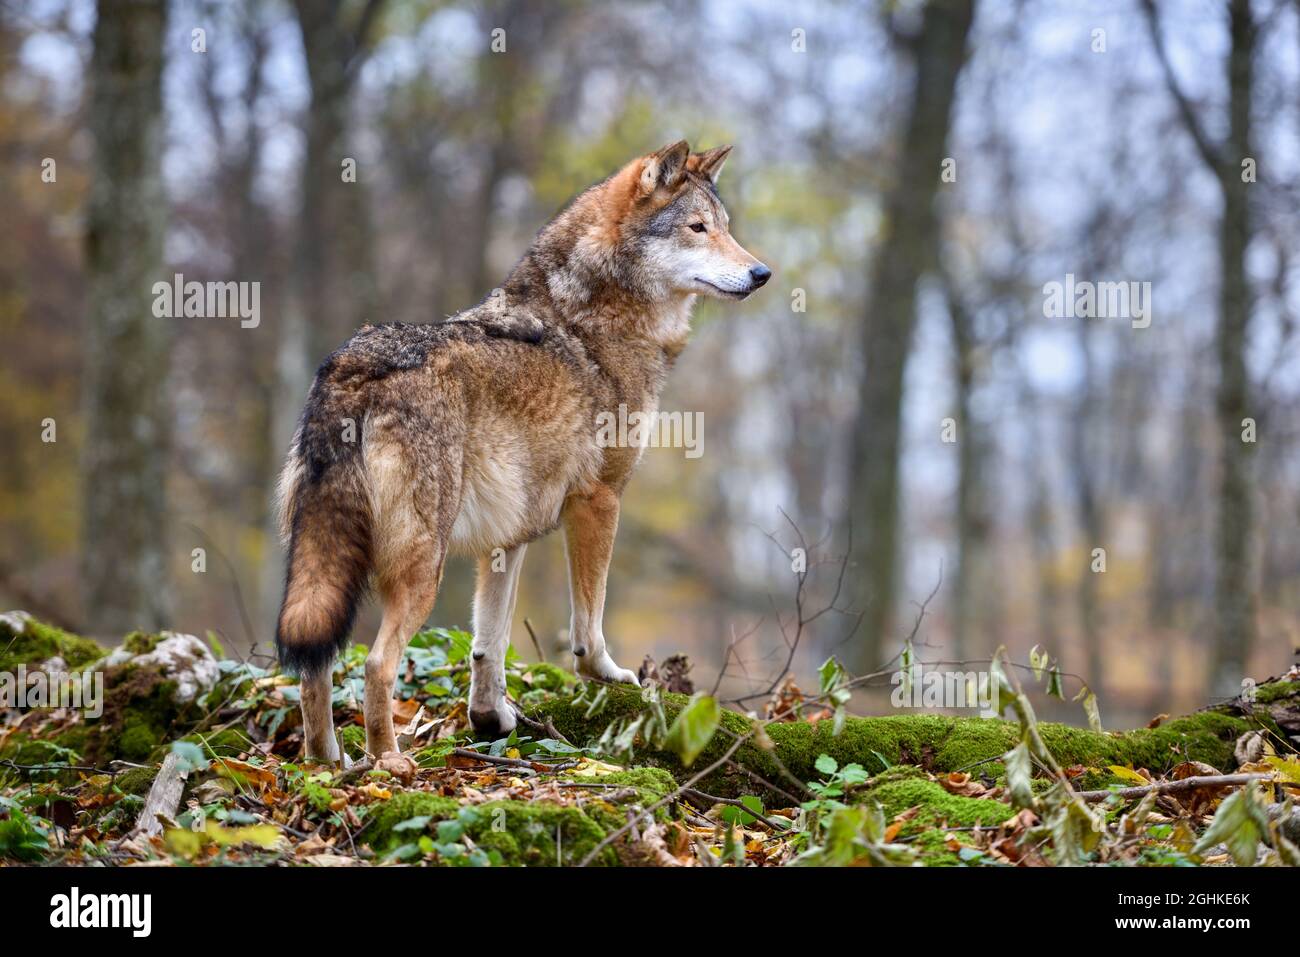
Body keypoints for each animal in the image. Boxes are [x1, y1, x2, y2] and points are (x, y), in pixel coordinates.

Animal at [274, 141, 771, 761]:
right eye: (697, 228)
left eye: (726, 227)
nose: (762, 272)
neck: (593, 314)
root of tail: (351, 367)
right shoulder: (599, 501)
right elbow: (589, 623)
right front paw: (611, 675)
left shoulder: (507, 537)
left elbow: (489, 643)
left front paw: (491, 719)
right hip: (422, 567)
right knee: (375, 665)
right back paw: (388, 762)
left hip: (326, 560)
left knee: (313, 671)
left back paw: (328, 763)